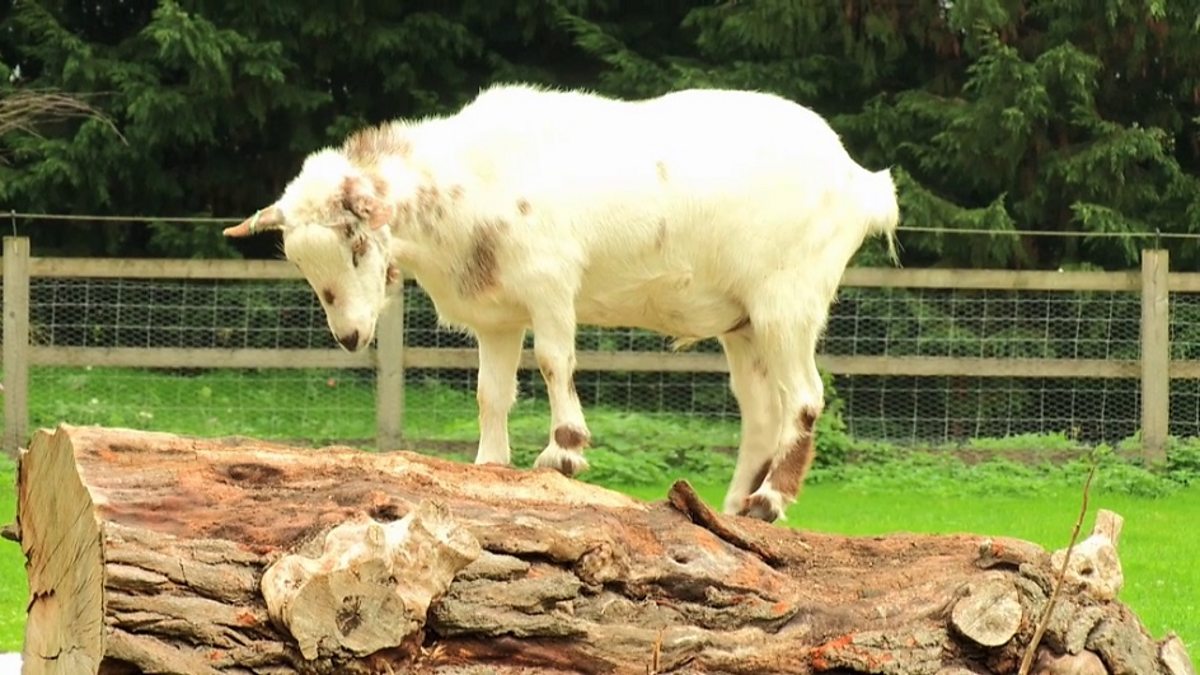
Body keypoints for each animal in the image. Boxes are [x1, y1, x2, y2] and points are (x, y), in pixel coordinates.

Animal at [224, 83, 899, 522]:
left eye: (358, 244)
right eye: (301, 261)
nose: (350, 335)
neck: (470, 181)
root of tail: (860, 183)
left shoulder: (550, 286)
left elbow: (553, 362)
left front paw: (562, 453)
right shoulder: (497, 317)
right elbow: (490, 393)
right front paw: (490, 465)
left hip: (788, 301)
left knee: (804, 399)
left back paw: (768, 501)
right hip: (744, 322)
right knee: (761, 411)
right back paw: (732, 507)